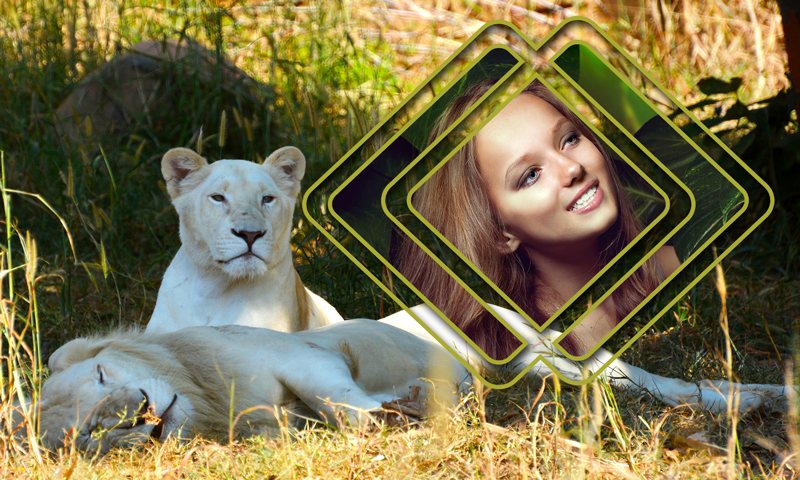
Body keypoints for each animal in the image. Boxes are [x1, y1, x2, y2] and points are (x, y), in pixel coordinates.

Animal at [34, 320, 470, 454]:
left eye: (102, 373)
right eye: (89, 432)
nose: (142, 412)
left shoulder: (301, 355)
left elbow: (333, 394)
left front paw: (392, 417)